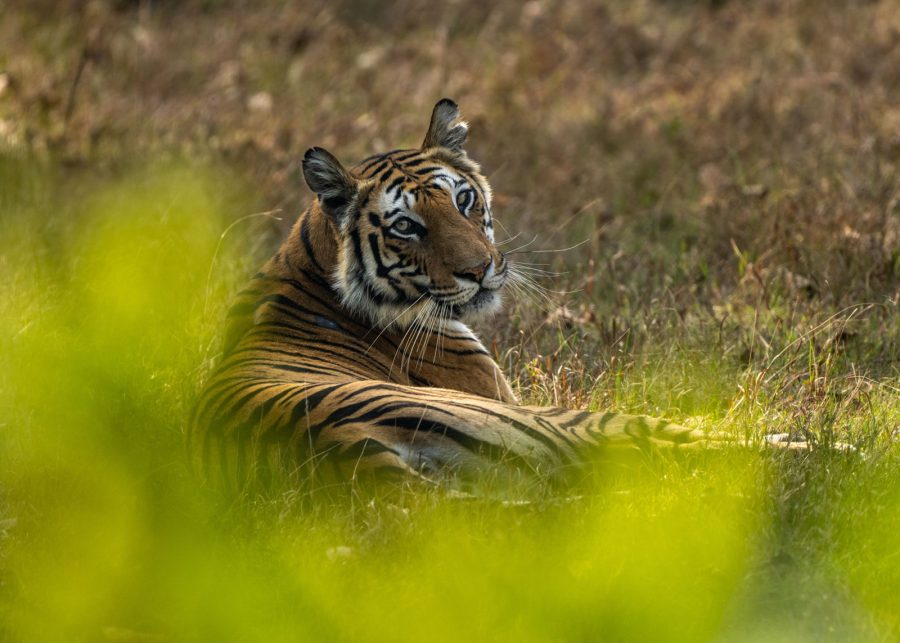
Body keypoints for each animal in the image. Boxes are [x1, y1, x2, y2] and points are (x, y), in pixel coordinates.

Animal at [189, 99, 702, 495]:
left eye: (463, 200)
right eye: (405, 226)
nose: (478, 270)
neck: (312, 259)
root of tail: (344, 450)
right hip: (531, 421)